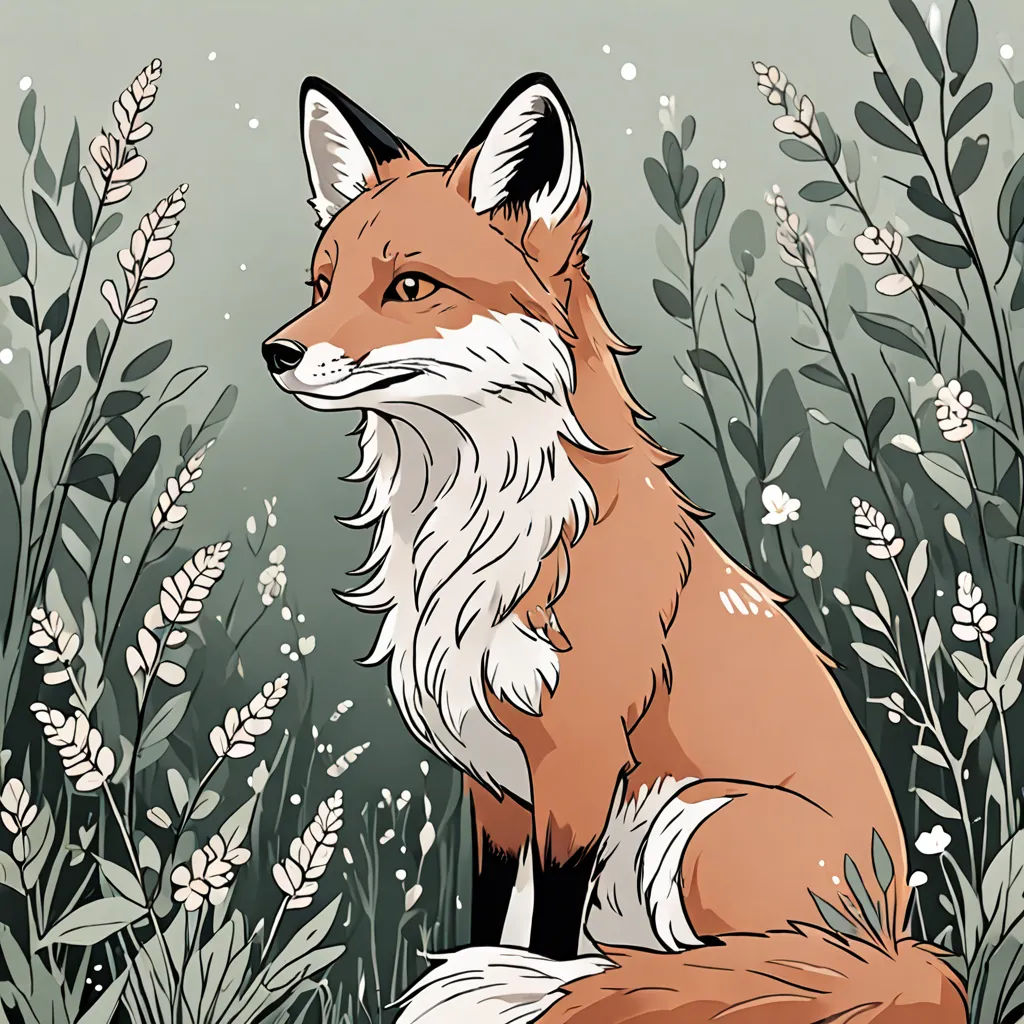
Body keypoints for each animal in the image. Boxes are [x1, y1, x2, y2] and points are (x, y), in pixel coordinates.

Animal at [261, 71, 968, 1023]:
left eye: (408, 286)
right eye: (322, 283)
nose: (277, 351)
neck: (473, 538)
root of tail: (894, 941)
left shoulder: (580, 761)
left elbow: (548, 937)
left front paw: (534, 987)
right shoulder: (493, 784)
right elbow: (495, 913)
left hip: (694, 827)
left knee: (744, 973)